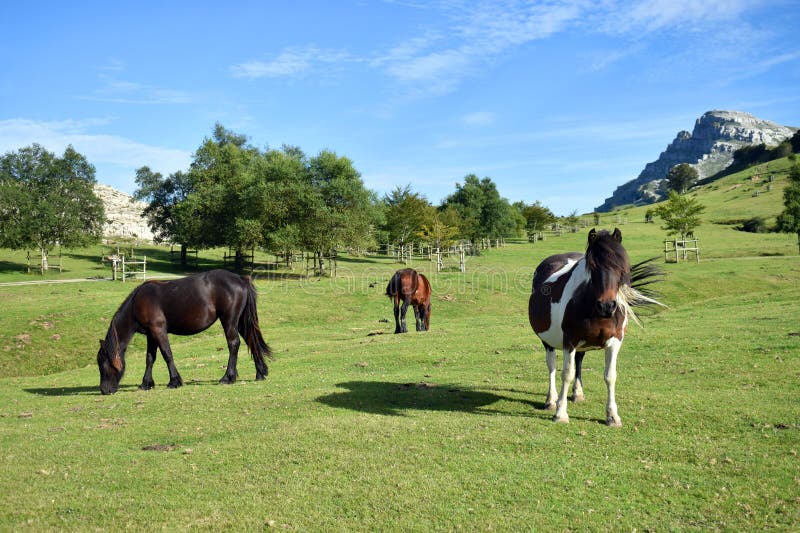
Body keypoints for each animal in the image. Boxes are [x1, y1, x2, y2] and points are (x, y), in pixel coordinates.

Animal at [97, 269, 272, 395]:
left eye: (102, 364)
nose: (104, 390)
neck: (137, 303)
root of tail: (240, 279)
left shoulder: (158, 330)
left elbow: (167, 354)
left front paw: (174, 381)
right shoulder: (151, 335)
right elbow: (150, 358)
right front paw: (146, 384)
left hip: (229, 321)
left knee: (233, 344)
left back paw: (228, 377)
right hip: (241, 322)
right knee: (251, 341)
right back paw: (260, 373)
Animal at [528, 228, 663, 426]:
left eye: (621, 266)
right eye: (592, 266)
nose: (607, 306)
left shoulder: (615, 342)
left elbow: (610, 376)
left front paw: (612, 416)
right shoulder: (569, 342)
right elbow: (566, 374)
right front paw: (560, 413)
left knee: (579, 360)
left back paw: (577, 393)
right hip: (548, 341)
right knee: (552, 365)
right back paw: (551, 400)